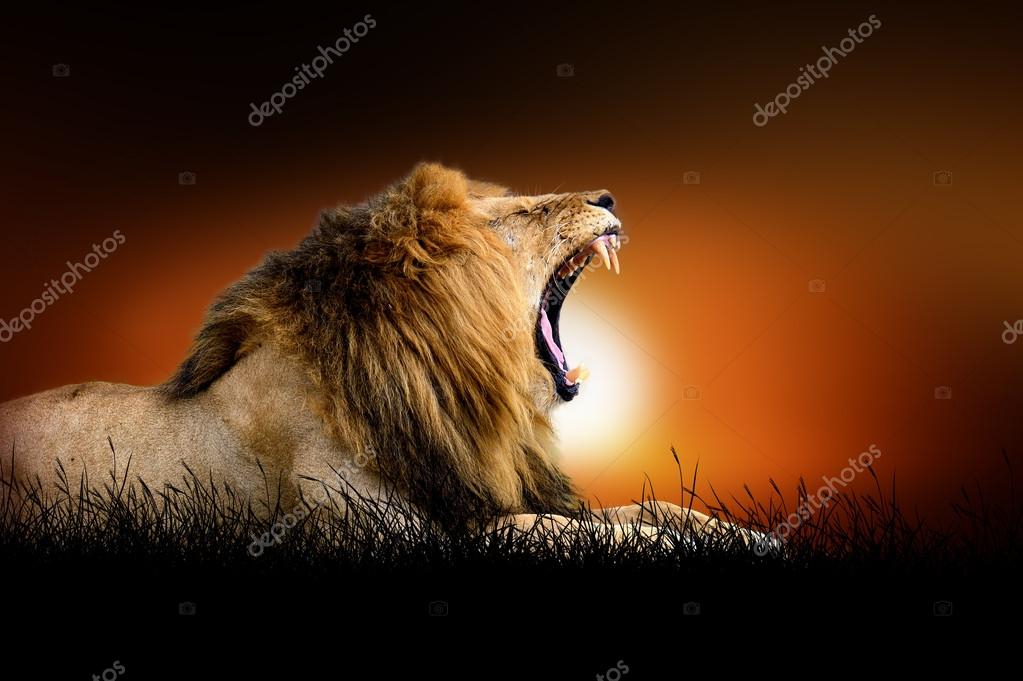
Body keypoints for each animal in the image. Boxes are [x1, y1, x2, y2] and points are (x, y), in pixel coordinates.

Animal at [0, 163, 734, 544]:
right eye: (516, 215)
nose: (607, 196)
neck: (438, 381)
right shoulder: (398, 535)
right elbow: (564, 532)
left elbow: (634, 513)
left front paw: (731, 531)